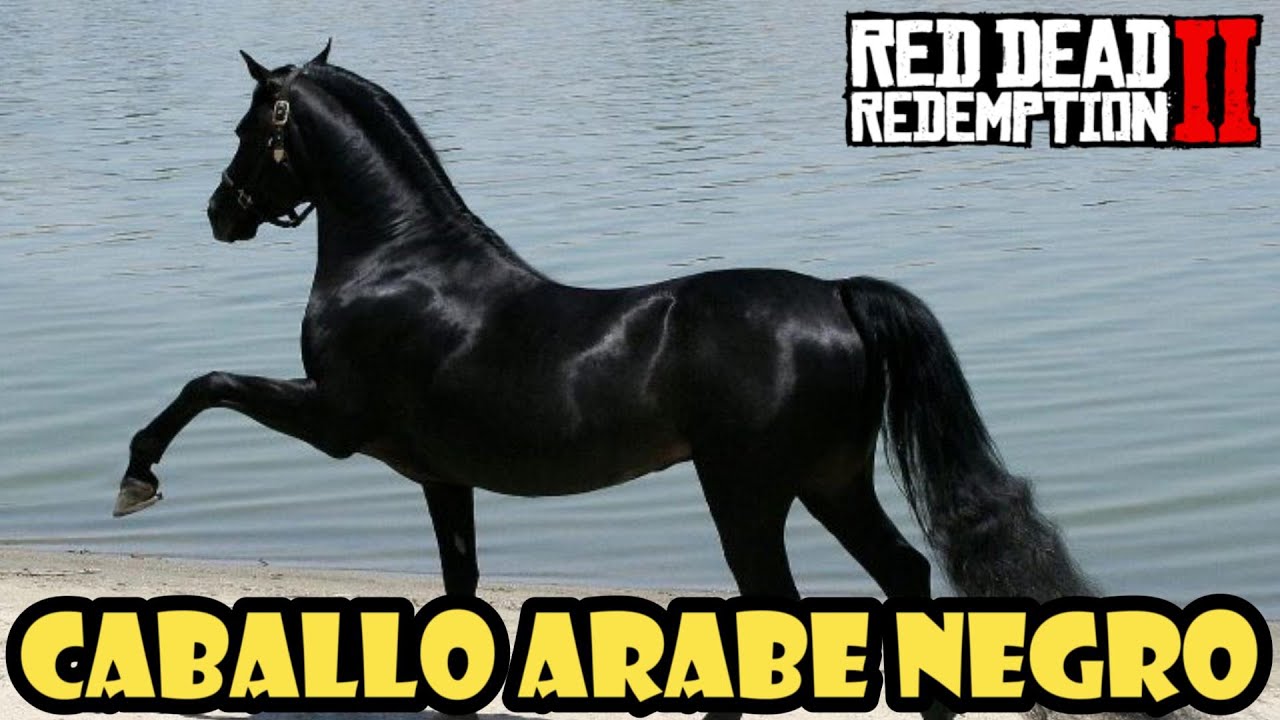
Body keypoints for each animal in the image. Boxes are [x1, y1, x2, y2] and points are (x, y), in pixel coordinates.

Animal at [117, 43, 1095, 720]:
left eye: (249, 129)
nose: (220, 212)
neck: (399, 261)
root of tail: (836, 296)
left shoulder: (335, 422)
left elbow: (208, 383)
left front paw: (137, 477)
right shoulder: (440, 476)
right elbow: (460, 588)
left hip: (750, 494)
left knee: (785, 607)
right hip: (831, 482)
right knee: (903, 575)